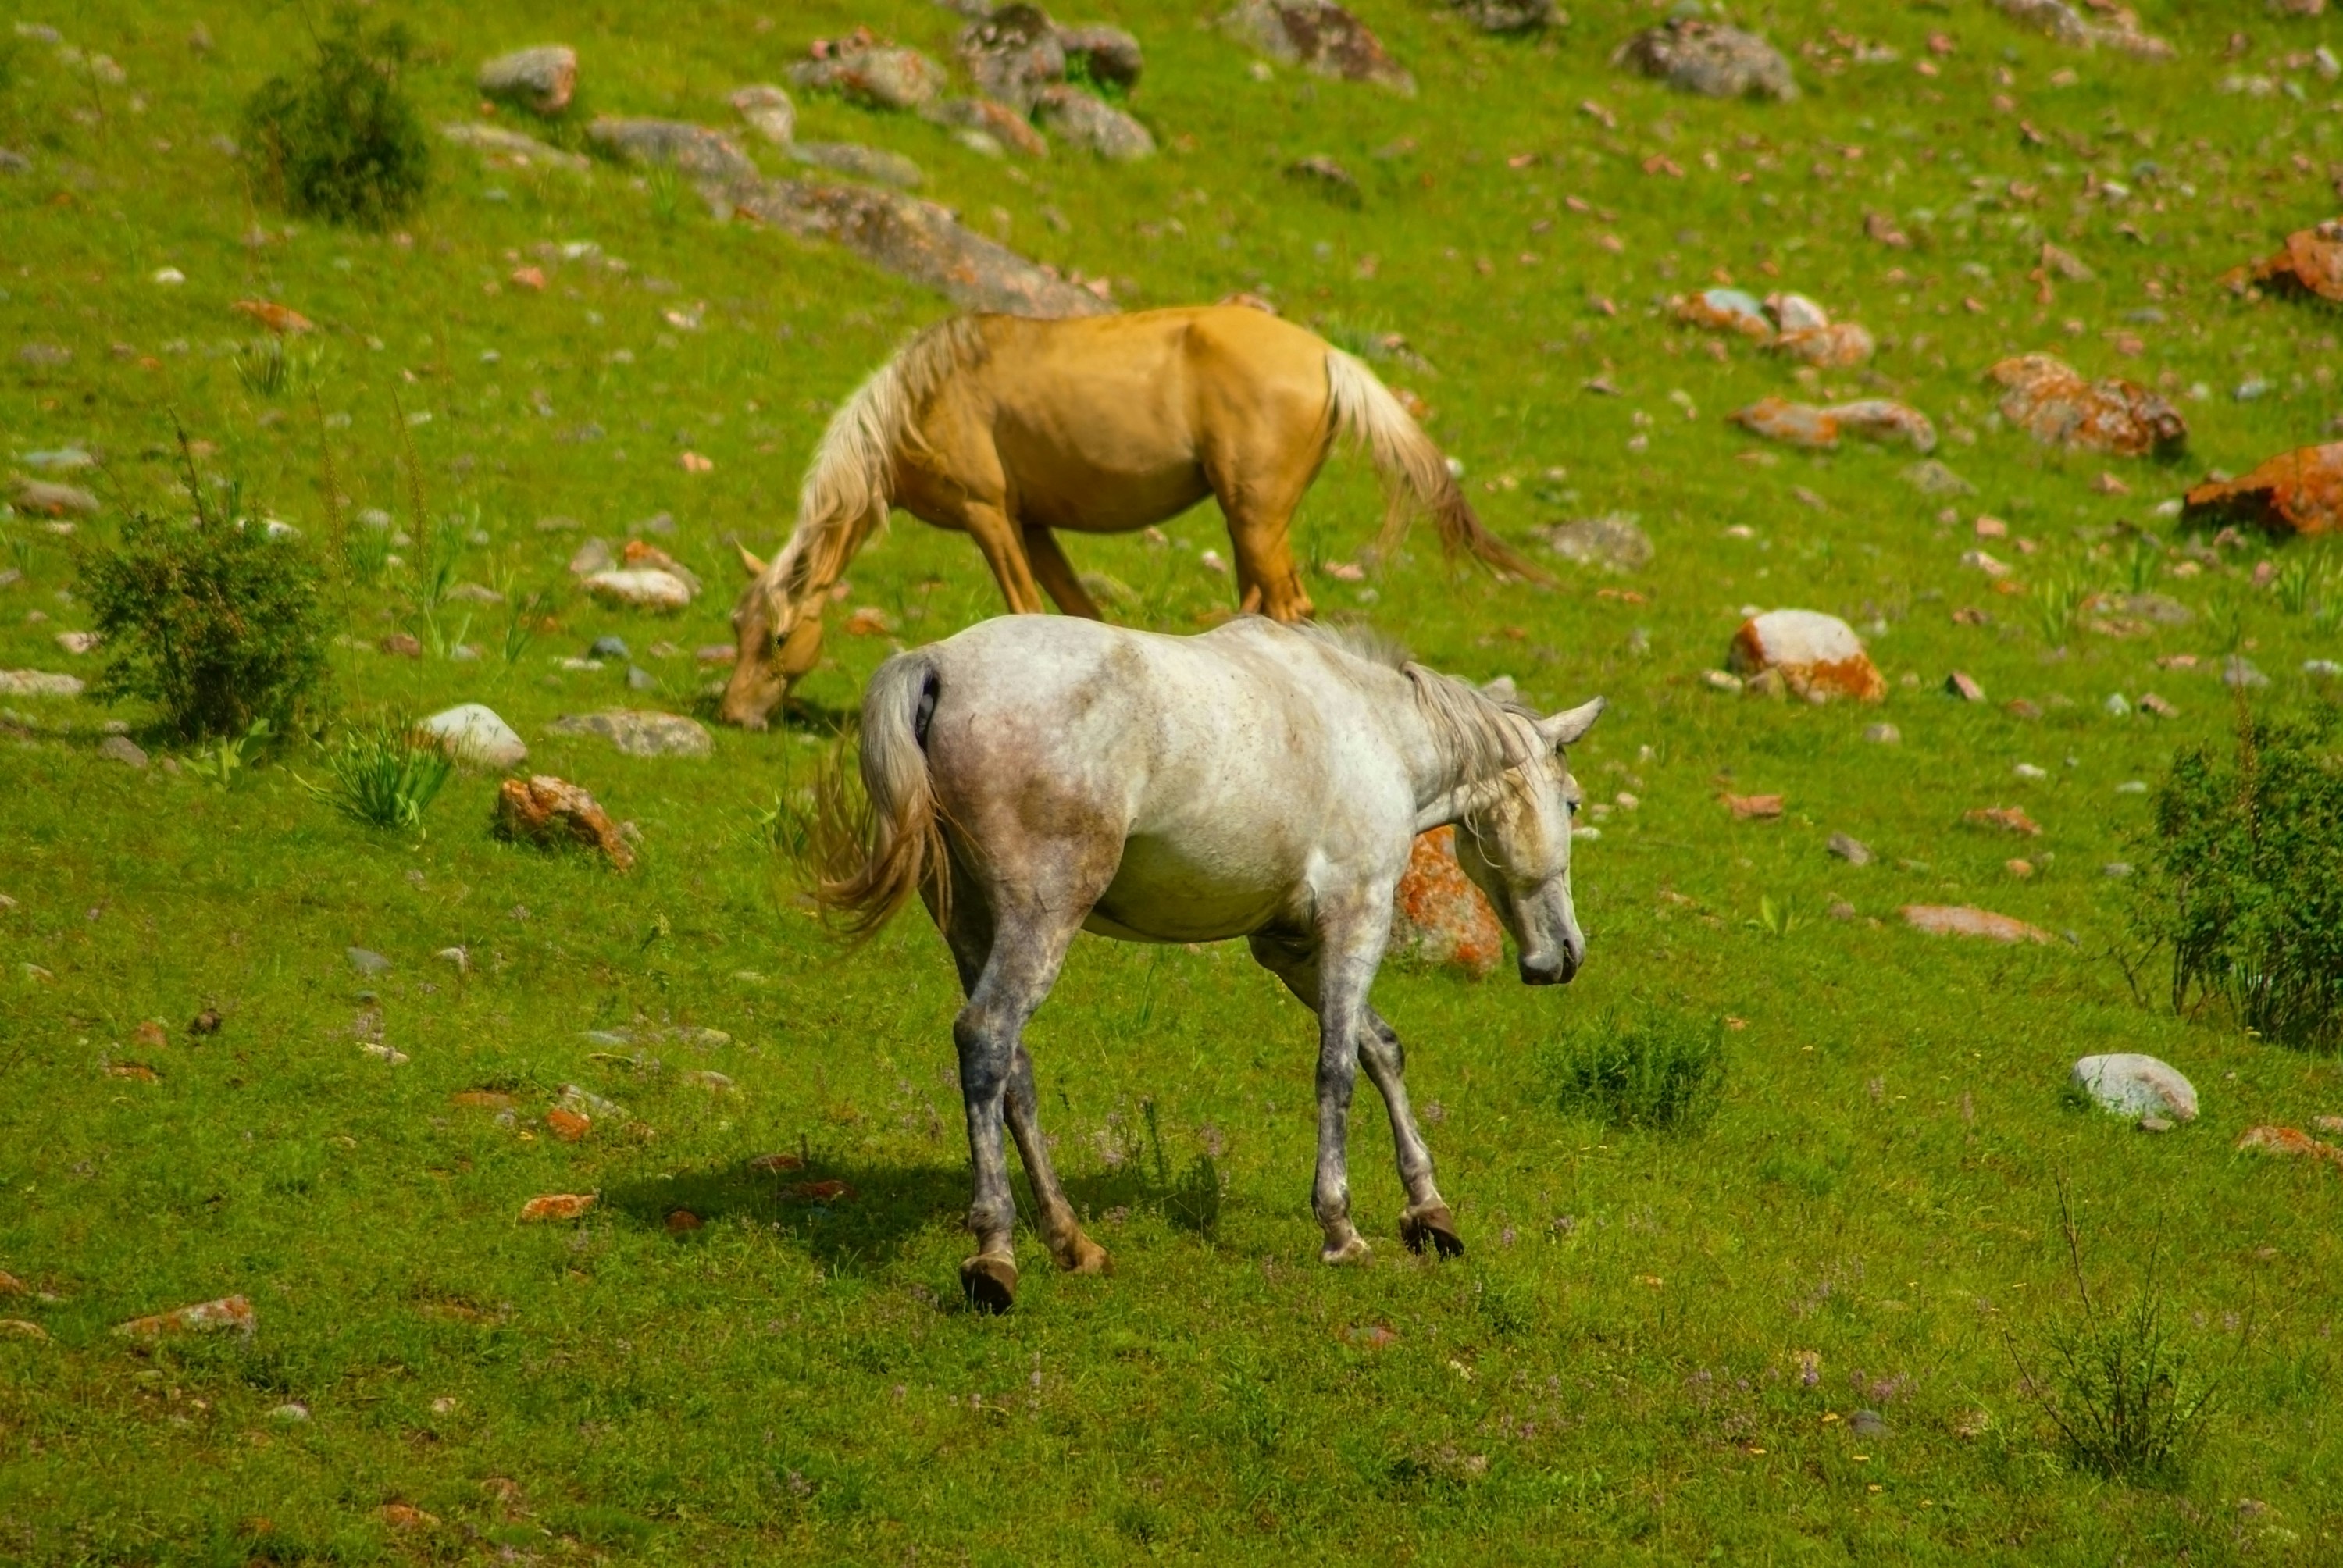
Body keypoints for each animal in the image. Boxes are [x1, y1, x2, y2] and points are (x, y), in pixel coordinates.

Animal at [718, 304, 1550, 729]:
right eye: (738, 628)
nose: (733, 713)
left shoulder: (990, 517)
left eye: (780, 638)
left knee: (1288, 608)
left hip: (1254, 517)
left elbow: (1025, 607)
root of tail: (1326, 357)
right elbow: (1077, 612)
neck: (923, 396)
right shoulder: (1033, 526)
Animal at [808, 613, 1604, 1311]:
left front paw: (1429, 1211)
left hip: (971, 926)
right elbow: (1338, 1070)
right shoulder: (1358, 917)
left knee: (1014, 1072)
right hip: (1040, 919)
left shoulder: (1289, 947)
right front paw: (1341, 1229)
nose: (1565, 954)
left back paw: (1072, 1241)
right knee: (987, 1039)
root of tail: (940, 664)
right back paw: (995, 1257)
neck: (1374, 729)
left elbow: (1379, 1048)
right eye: (1570, 803)